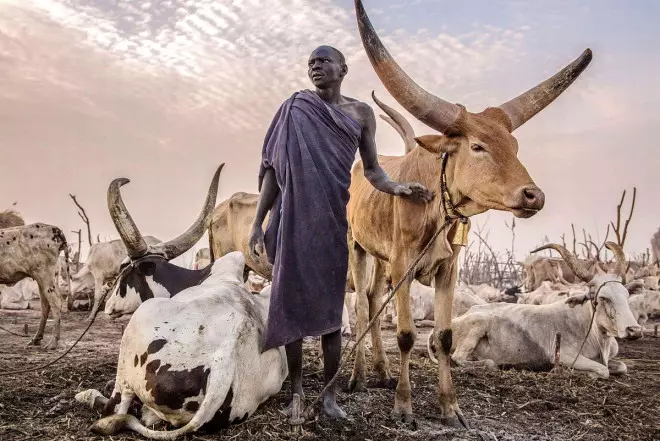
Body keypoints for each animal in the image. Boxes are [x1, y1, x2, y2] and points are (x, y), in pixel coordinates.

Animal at [74, 251, 286, 436]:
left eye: (124, 274)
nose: (107, 307)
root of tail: (225, 355)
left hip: (132, 340)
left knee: (116, 407)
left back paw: (89, 396)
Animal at [350, 0, 592, 426]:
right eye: (477, 146)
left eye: (514, 145)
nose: (534, 196)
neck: (436, 203)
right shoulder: (403, 264)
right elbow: (407, 335)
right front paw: (403, 405)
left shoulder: (448, 268)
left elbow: (443, 337)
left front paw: (450, 407)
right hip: (356, 247)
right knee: (362, 306)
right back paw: (359, 376)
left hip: (380, 258)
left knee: (374, 301)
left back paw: (380, 370)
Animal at [430, 241, 640, 378]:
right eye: (603, 297)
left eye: (626, 295)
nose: (634, 330)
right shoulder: (564, 356)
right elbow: (603, 370)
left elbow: (622, 366)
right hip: (478, 324)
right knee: (459, 358)